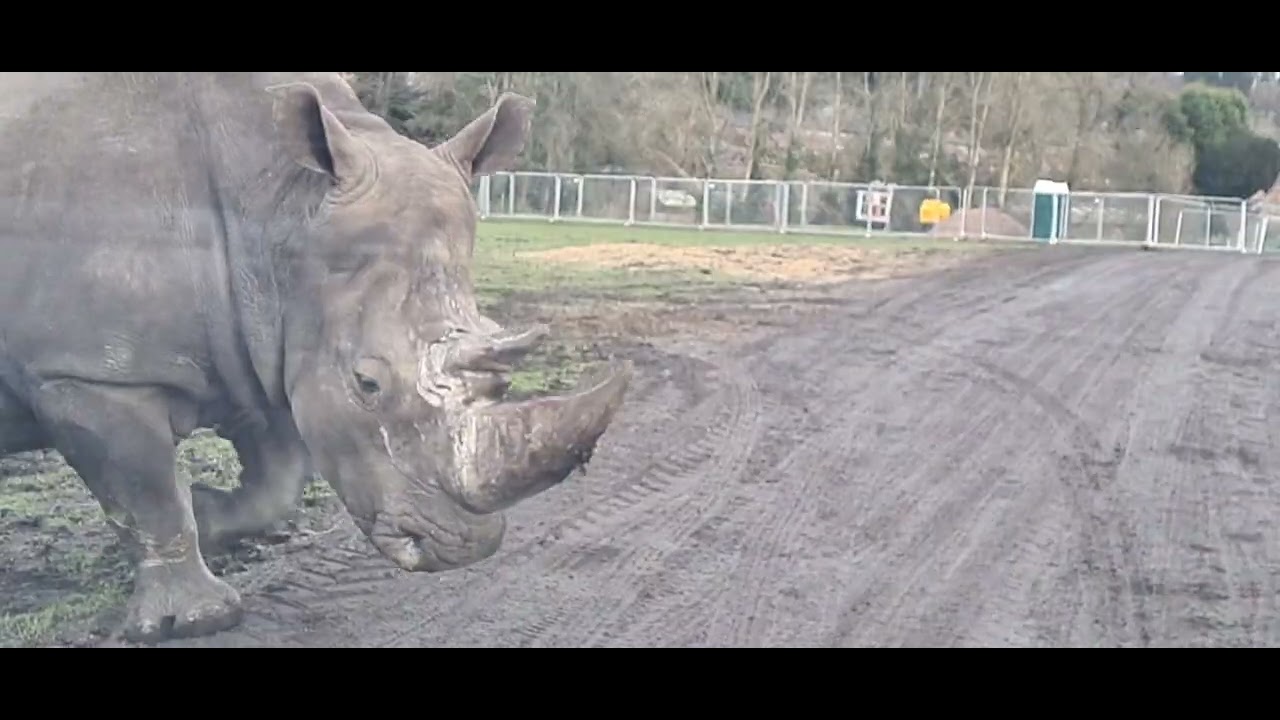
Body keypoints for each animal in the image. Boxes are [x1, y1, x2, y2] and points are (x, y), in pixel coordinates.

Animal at [0, 73, 631, 643]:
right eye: (367, 384)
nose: (466, 548)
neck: (276, 206)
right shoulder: (87, 373)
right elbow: (145, 492)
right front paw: (197, 621)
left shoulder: (264, 345)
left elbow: (276, 483)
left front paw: (207, 511)